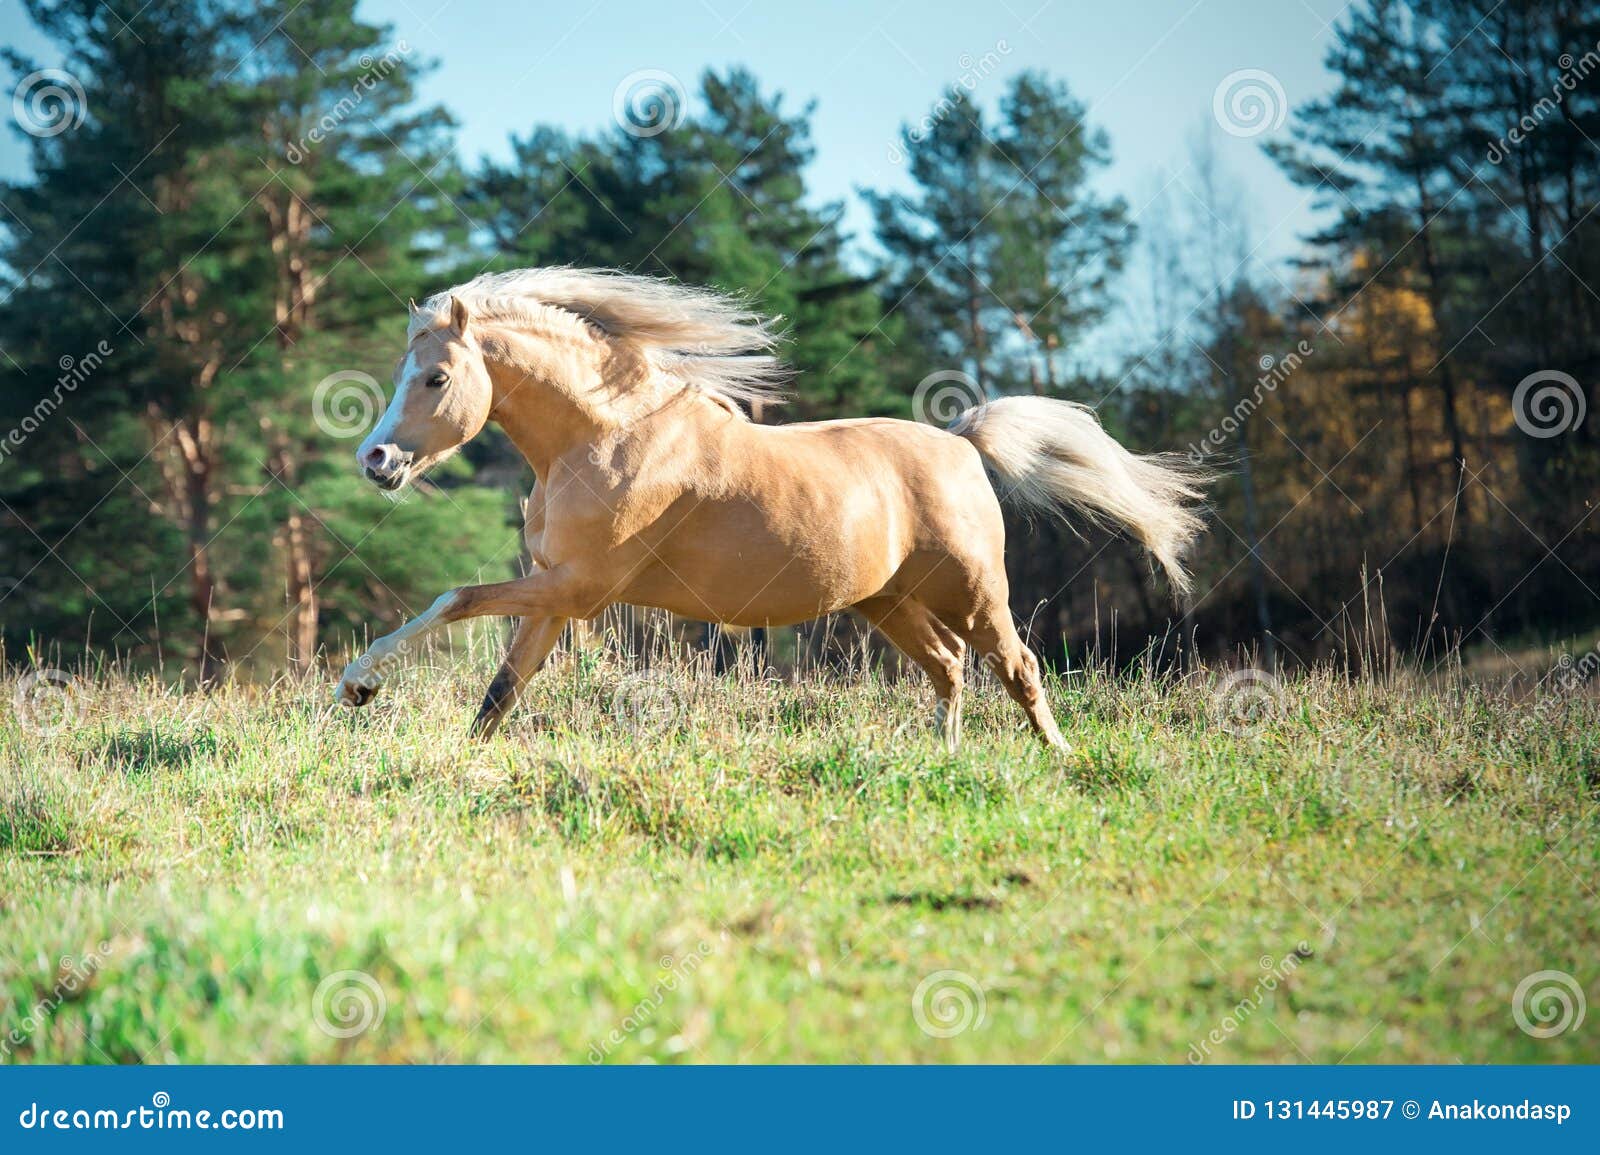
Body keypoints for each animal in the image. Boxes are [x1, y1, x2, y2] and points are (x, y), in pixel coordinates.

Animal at [334, 268, 1207, 750]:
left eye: (436, 377)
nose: (374, 460)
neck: (605, 433)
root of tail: (959, 441)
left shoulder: (577, 589)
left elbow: (452, 599)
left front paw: (356, 687)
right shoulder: (555, 595)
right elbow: (500, 693)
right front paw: (460, 757)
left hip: (973, 589)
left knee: (1016, 665)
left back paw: (1062, 760)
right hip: (888, 600)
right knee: (949, 667)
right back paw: (945, 758)